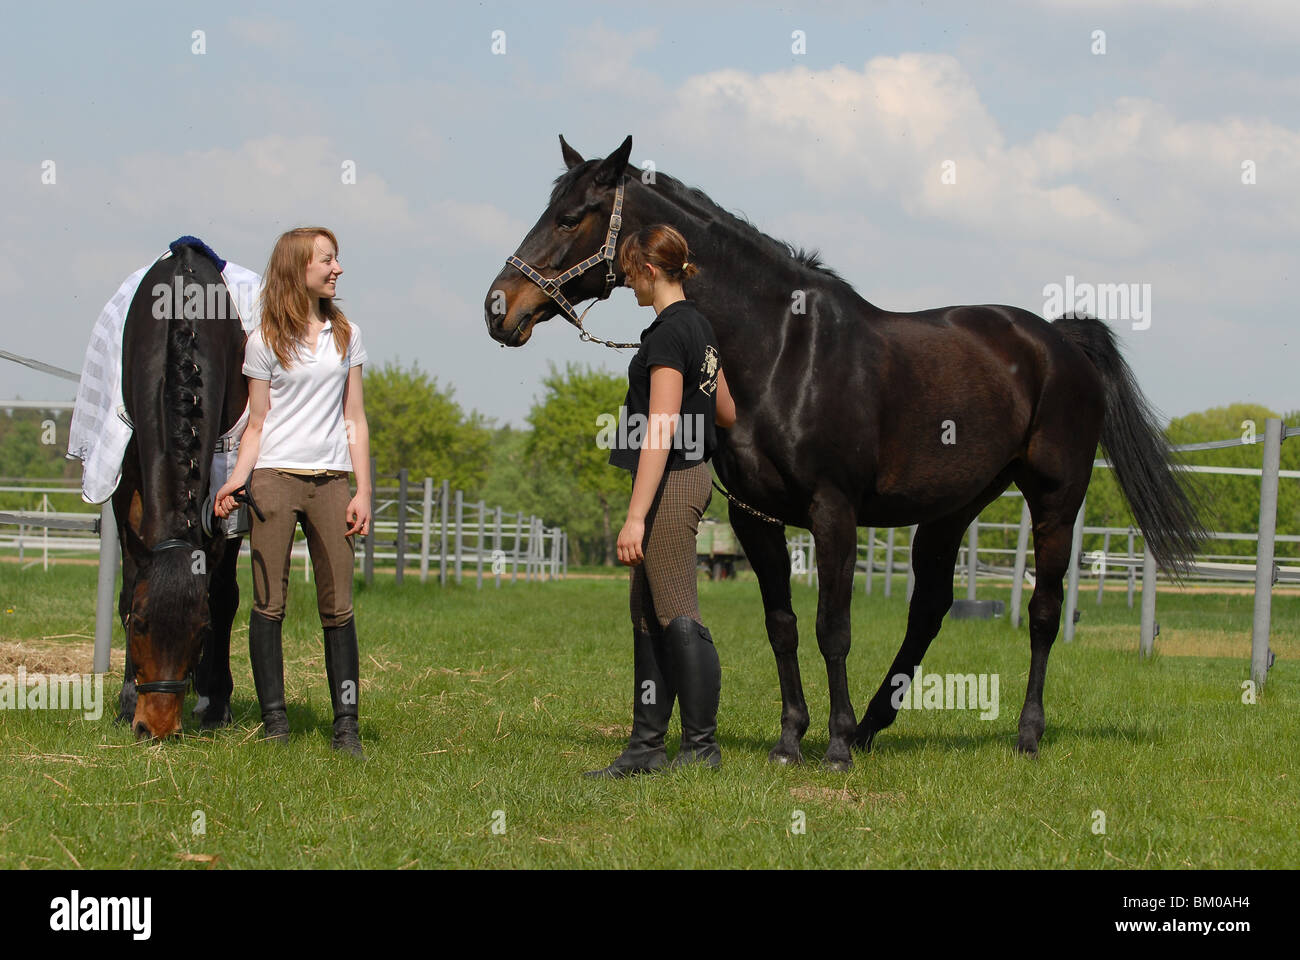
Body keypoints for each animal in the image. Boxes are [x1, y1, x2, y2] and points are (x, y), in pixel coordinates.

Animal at [113, 239, 249, 739]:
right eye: (139, 624)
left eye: (200, 631)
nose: (155, 727)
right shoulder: (126, 486)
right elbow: (129, 583)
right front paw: (125, 698)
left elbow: (223, 595)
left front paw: (217, 702)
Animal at [484, 135, 1204, 769]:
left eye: (570, 216)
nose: (498, 307)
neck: (785, 350)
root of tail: (1057, 341)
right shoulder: (754, 517)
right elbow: (781, 624)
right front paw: (790, 740)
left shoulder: (834, 513)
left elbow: (833, 626)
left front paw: (831, 746)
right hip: (953, 507)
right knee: (929, 610)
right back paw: (873, 724)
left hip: (1056, 501)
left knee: (1044, 612)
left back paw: (1021, 735)